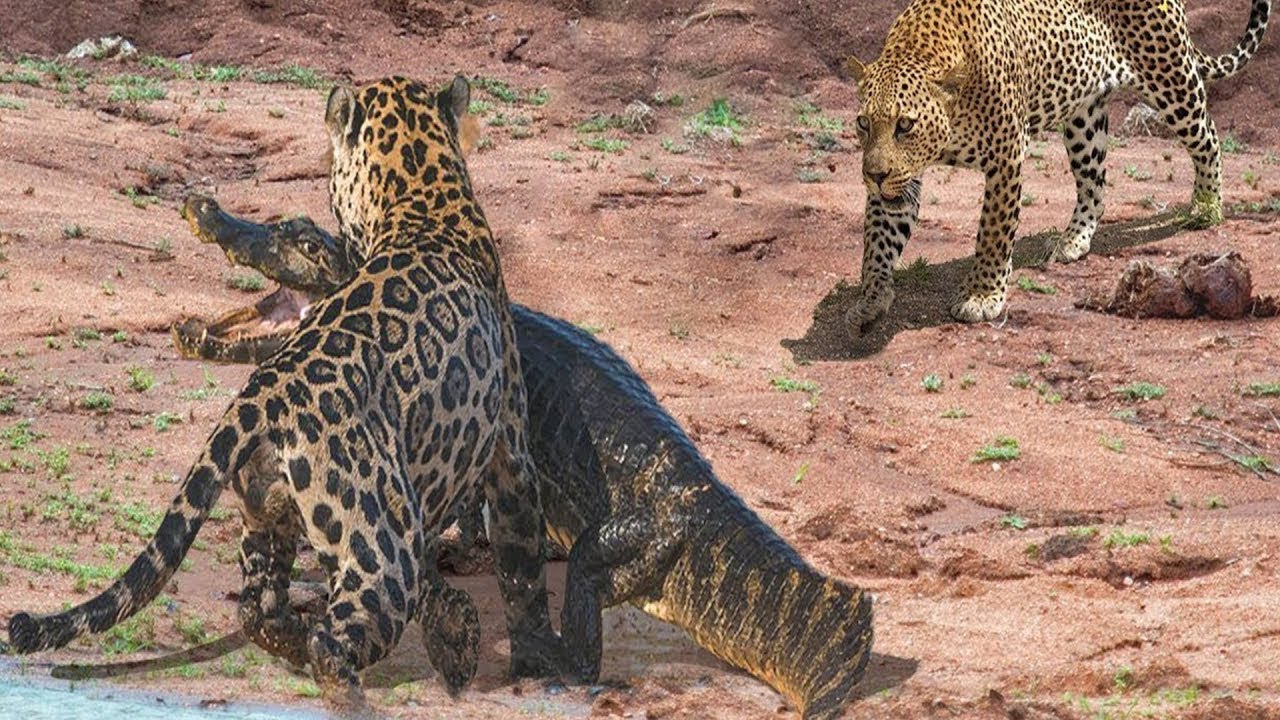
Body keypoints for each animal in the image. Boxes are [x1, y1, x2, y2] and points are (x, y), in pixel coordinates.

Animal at [6, 76, 567, 714]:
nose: (205, 208)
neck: (422, 194)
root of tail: (263, 394)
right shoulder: (511, 449)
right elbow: (522, 571)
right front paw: (537, 657)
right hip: (379, 536)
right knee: (337, 634)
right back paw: (359, 686)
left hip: (266, 512)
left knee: (259, 608)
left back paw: (324, 638)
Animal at [844, 0, 1270, 333]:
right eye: (864, 123)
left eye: (905, 125)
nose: (874, 176)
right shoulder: (901, 176)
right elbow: (879, 238)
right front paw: (871, 296)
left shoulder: (1006, 154)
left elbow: (993, 231)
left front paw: (983, 295)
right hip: (1085, 119)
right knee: (1095, 186)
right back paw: (1073, 240)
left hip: (1171, 78)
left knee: (1208, 136)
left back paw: (1206, 206)